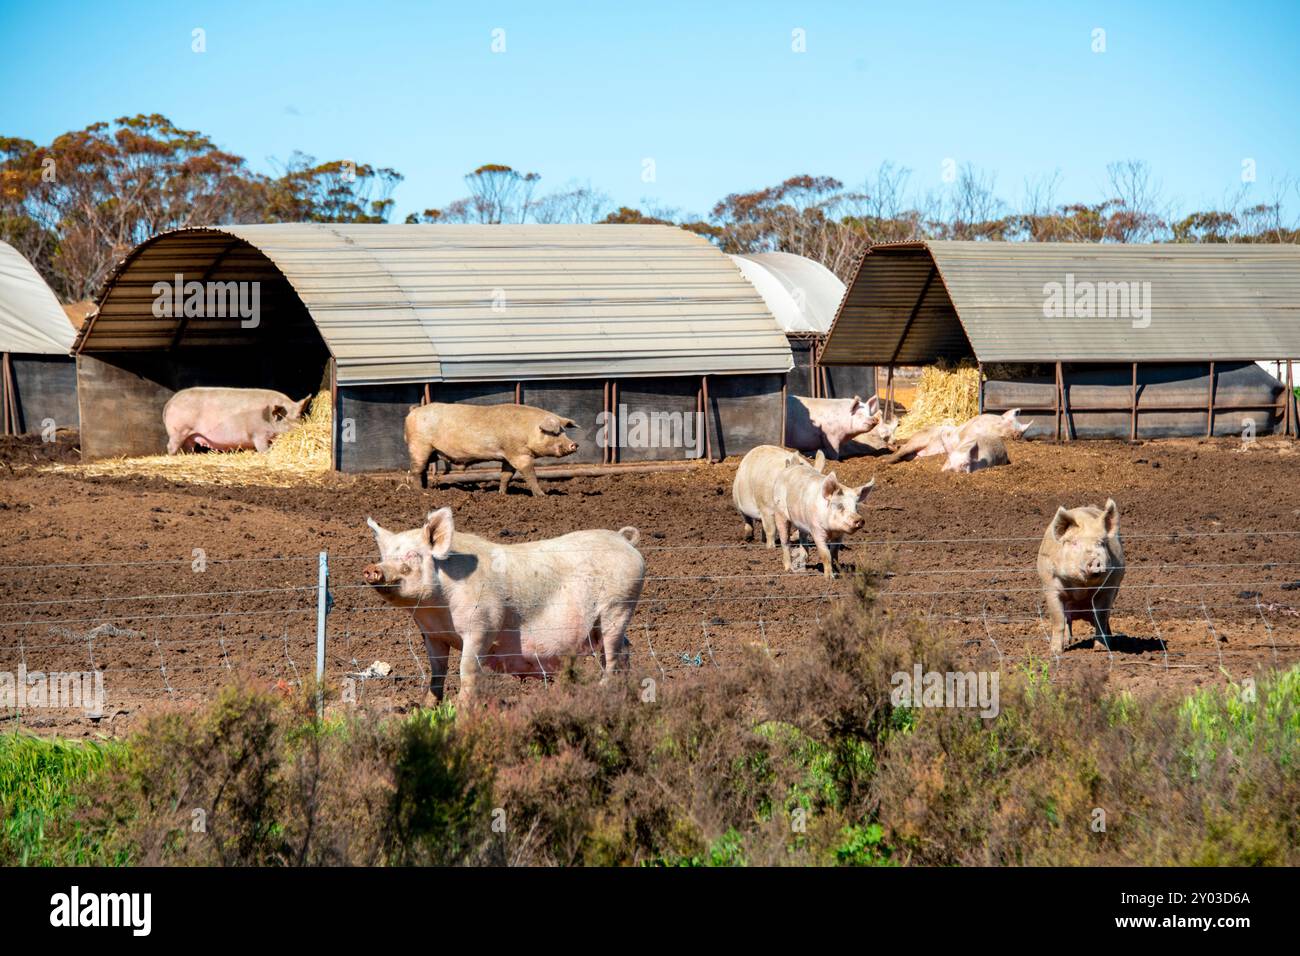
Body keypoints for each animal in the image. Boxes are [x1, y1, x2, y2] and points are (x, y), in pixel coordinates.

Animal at [163, 387, 311, 454]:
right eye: (290, 418)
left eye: (300, 416)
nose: (302, 429)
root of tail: (170, 401)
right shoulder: (259, 434)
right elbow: (263, 449)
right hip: (178, 431)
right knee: (171, 446)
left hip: (189, 436)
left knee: (188, 447)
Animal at [363, 508, 645, 702]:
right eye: (384, 556)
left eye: (412, 556)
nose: (372, 568)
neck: (436, 610)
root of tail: (624, 540)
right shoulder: (432, 635)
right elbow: (437, 671)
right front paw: (429, 706)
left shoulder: (483, 625)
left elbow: (467, 670)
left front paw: (462, 712)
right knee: (625, 648)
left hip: (618, 606)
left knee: (614, 654)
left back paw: (604, 689)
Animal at [405, 402, 579, 496]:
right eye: (555, 433)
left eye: (564, 431)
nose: (575, 444)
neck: (528, 431)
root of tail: (414, 411)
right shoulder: (519, 454)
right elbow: (530, 474)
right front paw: (542, 495)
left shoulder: (507, 456)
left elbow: (506, 475)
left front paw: (502, 493)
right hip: (419, 445)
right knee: (416, 470)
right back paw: (421, 492)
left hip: (430, 451)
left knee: (423, 470)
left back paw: (426, 488)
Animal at [883, 408, 1030, 465]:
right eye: (1010, 422)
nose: (1019, 434)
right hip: (919, 440)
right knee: (902, 448)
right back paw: (886, 461)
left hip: (917, 452)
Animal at [1037, 499, 1126, 654]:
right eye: (1074, 543)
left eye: (1100, 543)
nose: (1095, 561)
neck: (1080, 587)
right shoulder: (1050, 586)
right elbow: (1058, 619)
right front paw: (1055, 651)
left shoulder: (1109, 588)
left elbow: (1101, 617)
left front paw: (1100, 649)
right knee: (1067, 620)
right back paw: (1067, 643)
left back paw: (1110, 642)